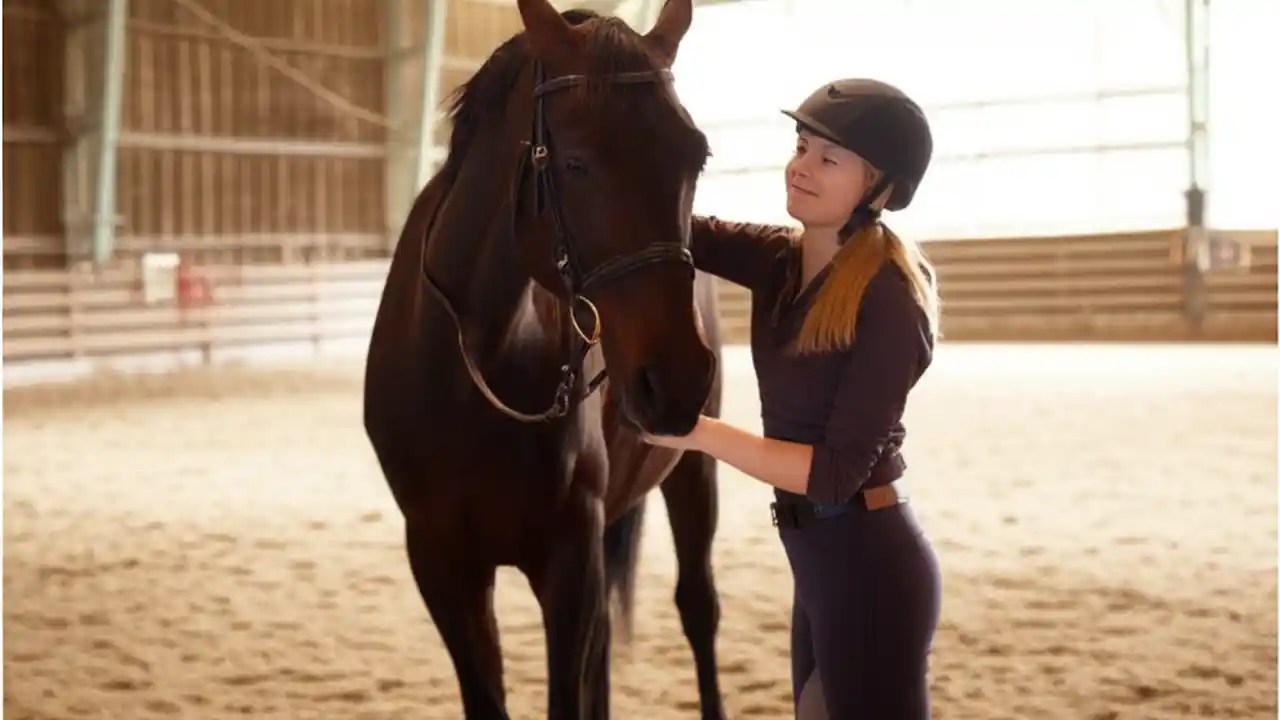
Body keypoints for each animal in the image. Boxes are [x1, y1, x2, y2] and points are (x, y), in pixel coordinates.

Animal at [363, 1, 726, 718]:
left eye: (695, 157)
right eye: (577, 163)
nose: (676, 381)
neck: (476, 367)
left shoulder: (569, 561)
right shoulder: (441, 562)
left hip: (692, 471)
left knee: (697, 606)